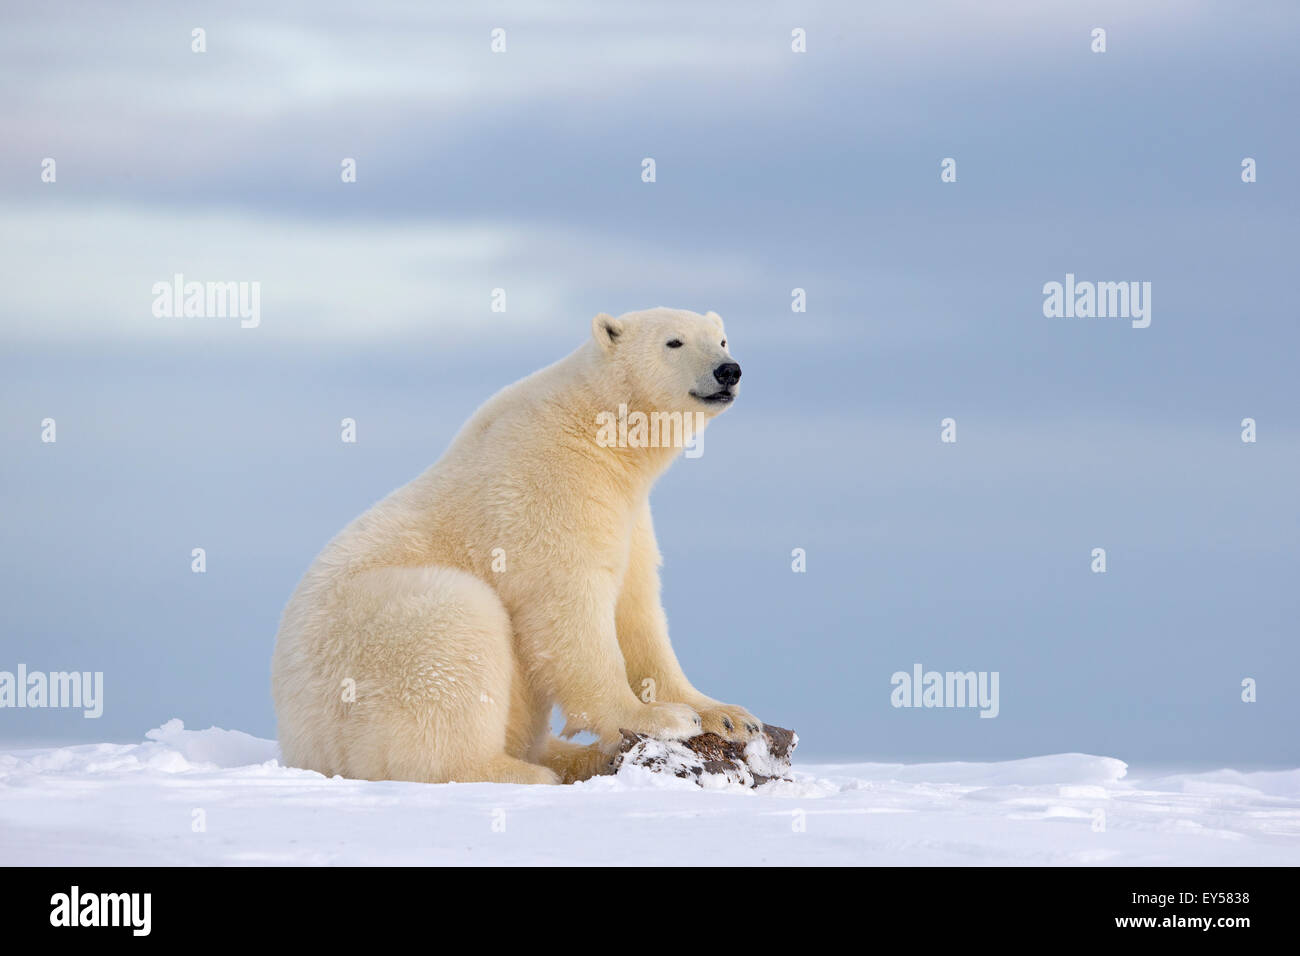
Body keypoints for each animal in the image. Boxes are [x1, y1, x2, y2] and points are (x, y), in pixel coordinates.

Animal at [271, 307, 760, 785]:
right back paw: (524, 772)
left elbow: (637, 608)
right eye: (673, 342)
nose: (728, 370)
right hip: (367, 647)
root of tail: (293, 735)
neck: (599, 433)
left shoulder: (629, 514)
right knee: (455, 628)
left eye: (721, 340)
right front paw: (660, 718)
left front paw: (728, 716)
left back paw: (579, 759)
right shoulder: (547, 485)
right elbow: (569, 607)